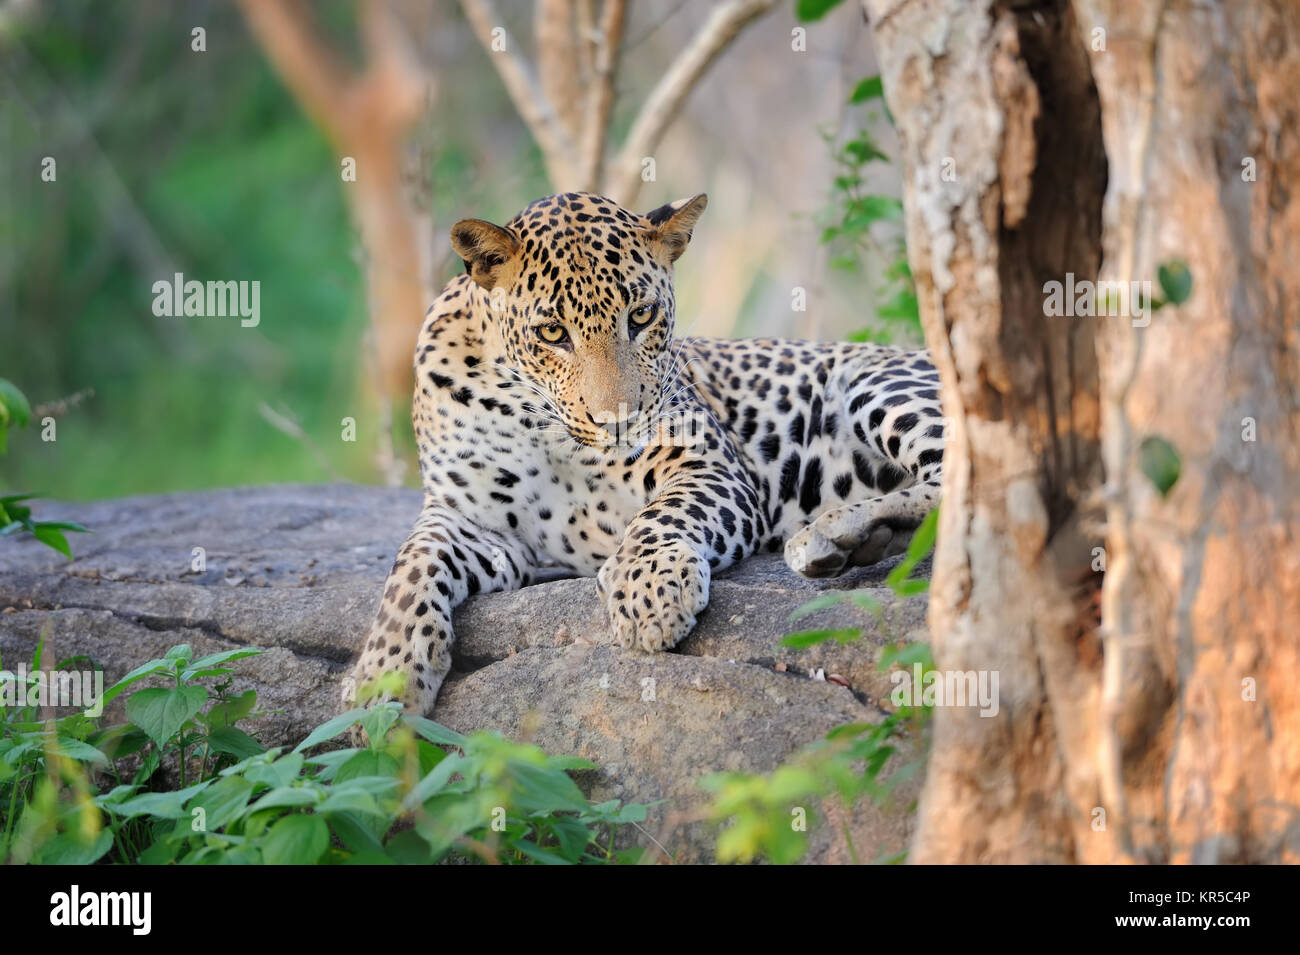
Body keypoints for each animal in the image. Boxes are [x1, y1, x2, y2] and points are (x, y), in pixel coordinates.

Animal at [340, 191, 944, 718]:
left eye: (642, 315)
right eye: (552, 332)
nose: (618, 420)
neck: (544, 426)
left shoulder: (711, 466)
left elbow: (664, 513)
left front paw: (649, 589)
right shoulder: (471, 520)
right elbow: (411, 564)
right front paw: (382, 676)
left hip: (873, 380)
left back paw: (833, 535)